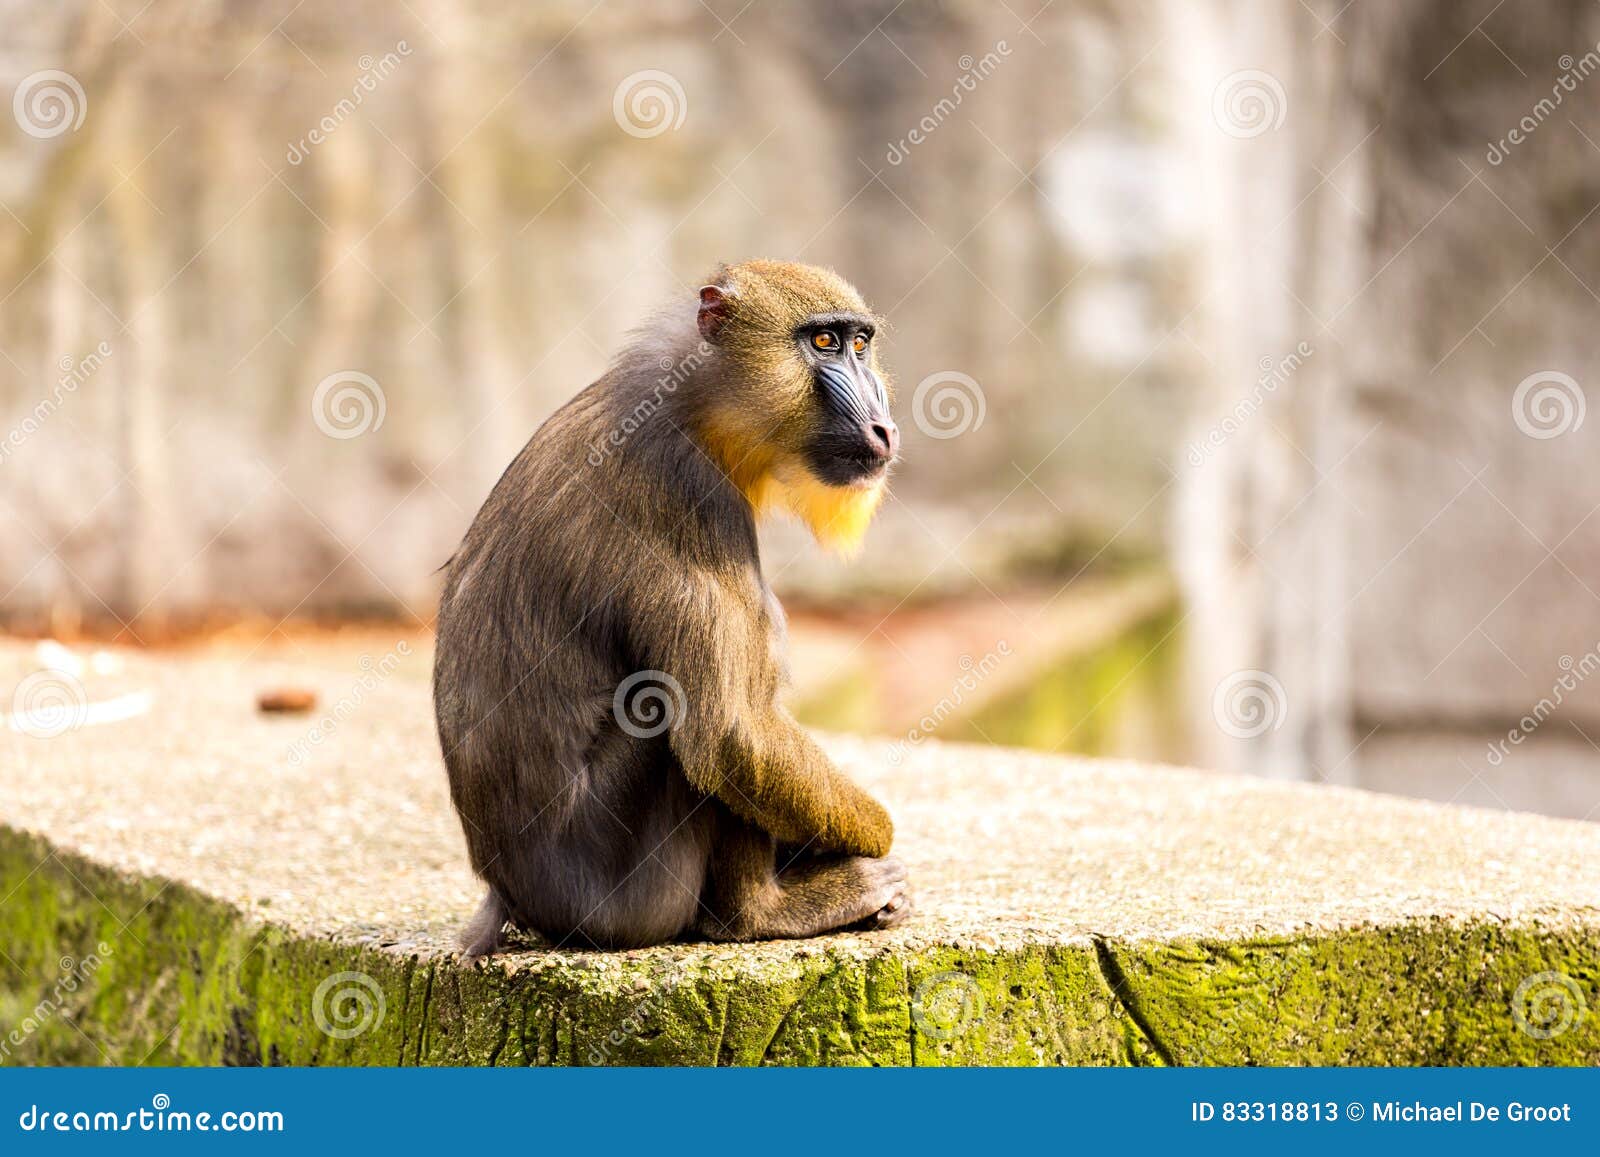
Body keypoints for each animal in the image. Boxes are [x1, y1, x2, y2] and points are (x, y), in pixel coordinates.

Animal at [432, 259, 910, 955]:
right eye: (823, 343)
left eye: (861, 344)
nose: (883, 426)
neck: (694, 407)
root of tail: (509, 893)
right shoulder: (692, 493)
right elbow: (732, 733)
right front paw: (875, 841)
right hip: (629, 893)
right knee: (686, 715)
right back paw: (767, 911)